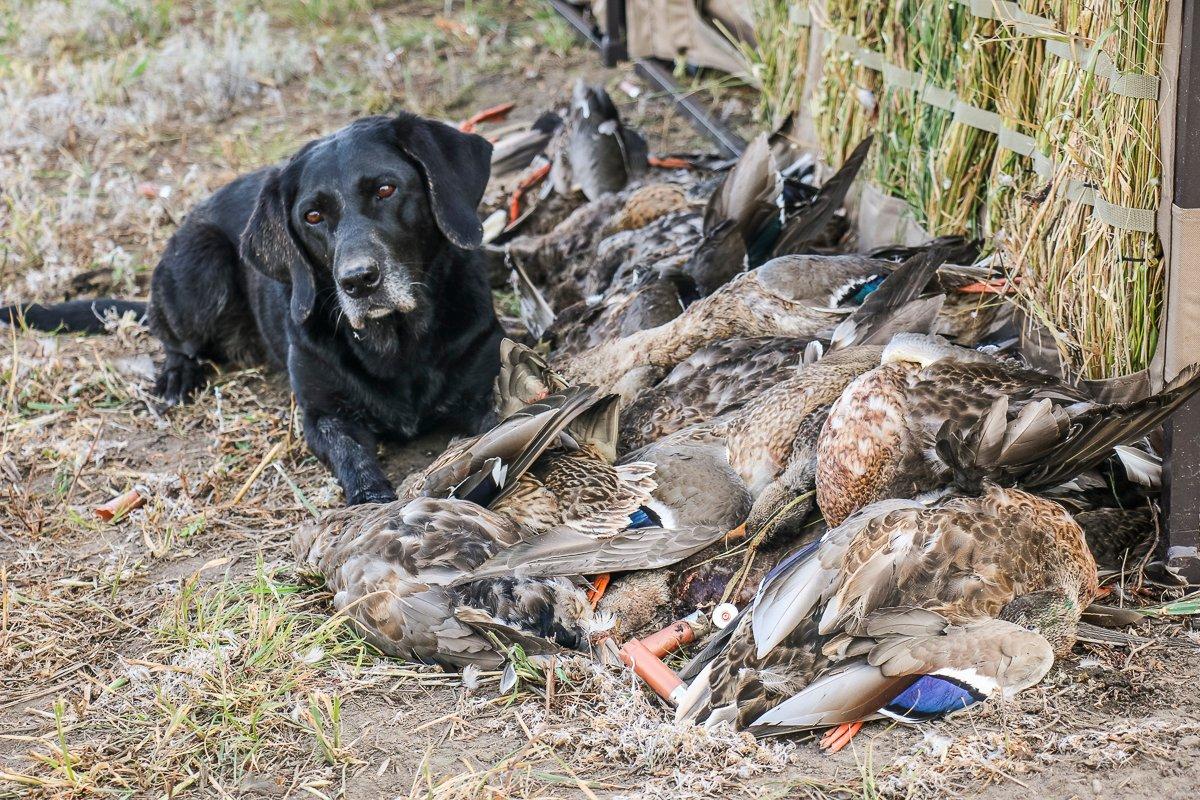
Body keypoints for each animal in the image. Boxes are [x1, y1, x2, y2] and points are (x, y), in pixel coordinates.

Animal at [4, 113, 501, 501]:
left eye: (385, 190)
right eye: (313, 217)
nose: (358, 281)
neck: (397, 344)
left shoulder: (484, 388)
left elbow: (496, 426)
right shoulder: (323, 416)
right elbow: (352, 457)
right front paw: (372, 498)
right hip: (201, 262)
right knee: (173, 337)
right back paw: (177, 375)